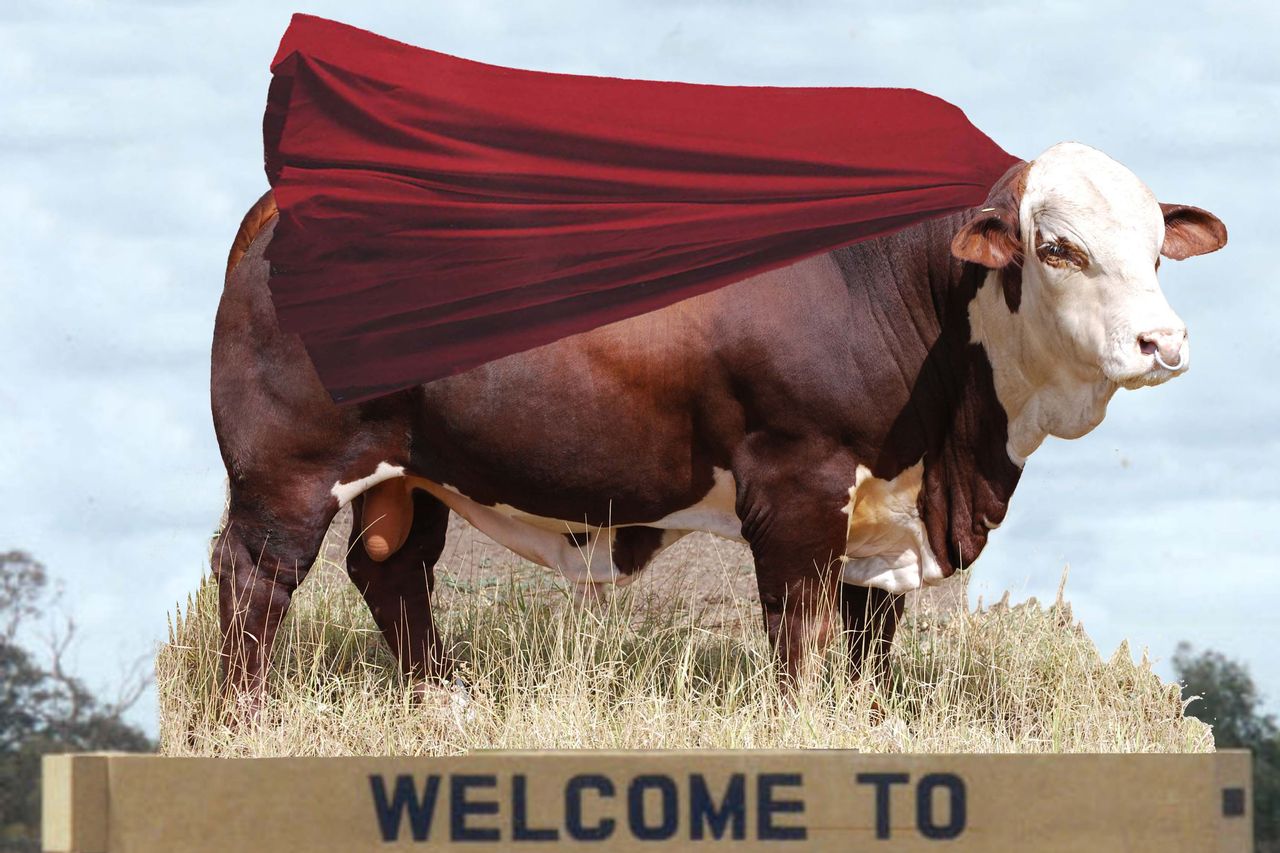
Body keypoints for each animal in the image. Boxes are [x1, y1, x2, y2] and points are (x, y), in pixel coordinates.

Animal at [211, 142, 1226, 708]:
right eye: (1057, 247)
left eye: (1154, 248)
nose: (1165, 340)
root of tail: (279, 202)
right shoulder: (797, 482)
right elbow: (801, 631)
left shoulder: (883, 510)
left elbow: (869, 636)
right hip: (289, 467)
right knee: (256, 577)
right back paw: (245, 720)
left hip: (414, 467)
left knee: (391, 572)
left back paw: (442, 702)